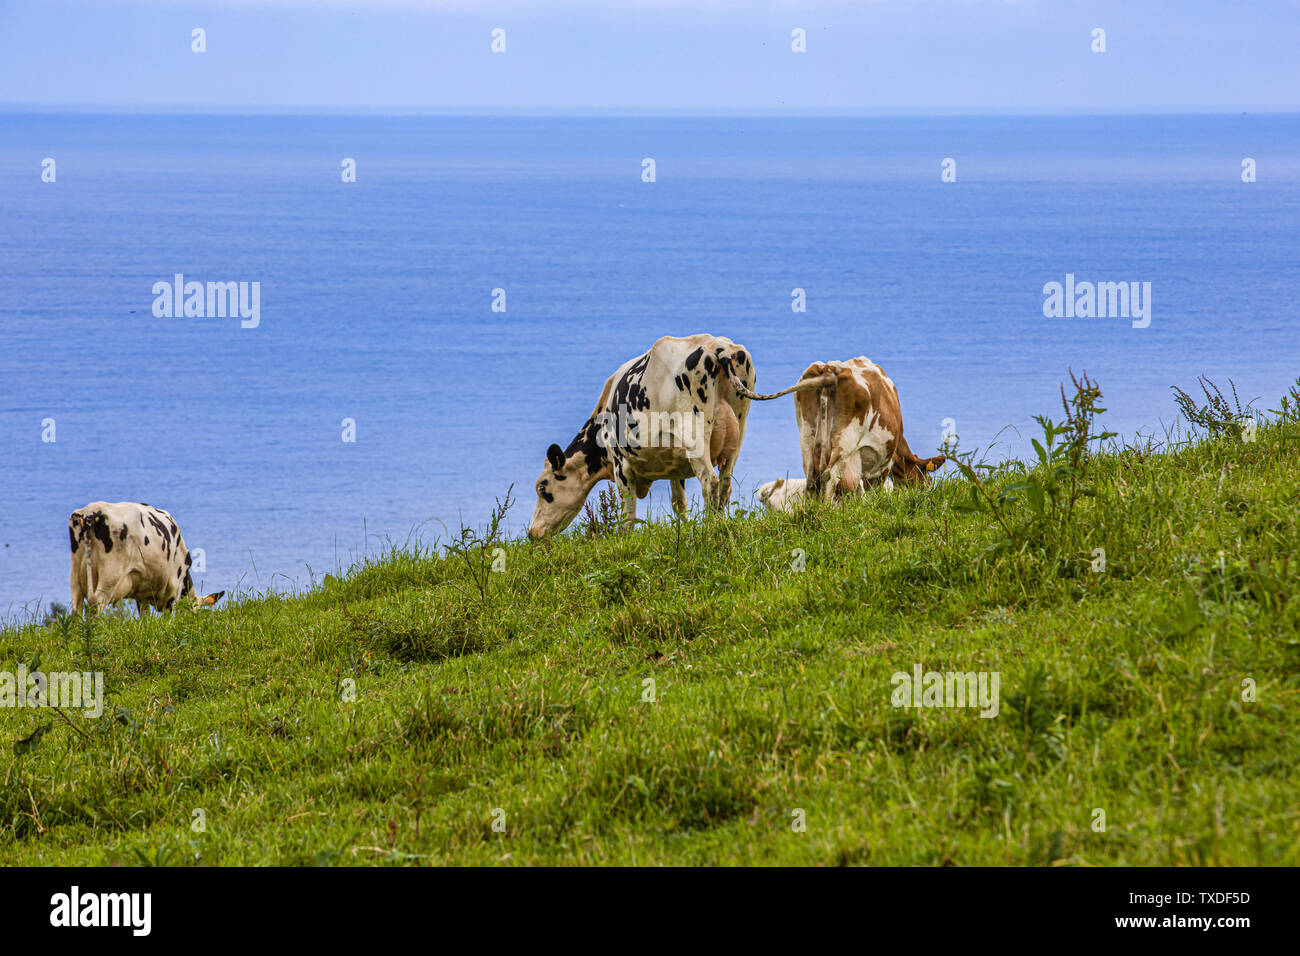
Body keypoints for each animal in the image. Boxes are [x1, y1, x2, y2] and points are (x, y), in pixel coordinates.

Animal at [68, 502, 223, 614]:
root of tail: (90, 513)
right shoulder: (173, 590)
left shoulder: (141, 595)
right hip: (110, 577)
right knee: (95, 607)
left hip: (75, 576)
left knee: (76, 610)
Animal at [528, 334, 828, 539]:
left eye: (543, 488)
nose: (533, 534)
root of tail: (718, 348)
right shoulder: (676, 462)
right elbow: (679, 504)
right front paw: (683, 531)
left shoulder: (621, 463)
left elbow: (627, 512)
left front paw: (625, 540)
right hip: (739, 427)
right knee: (726, 482)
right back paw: (719, 522)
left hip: (695, 432)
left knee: (710, 480)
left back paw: (710, 527)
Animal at [793, 357, 945, 500]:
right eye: (926, 482)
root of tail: (829, 369)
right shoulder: (885, 463)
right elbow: (874, 492)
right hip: (845, 444)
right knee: (830, 477)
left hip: (807, 441)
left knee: (811, 480)